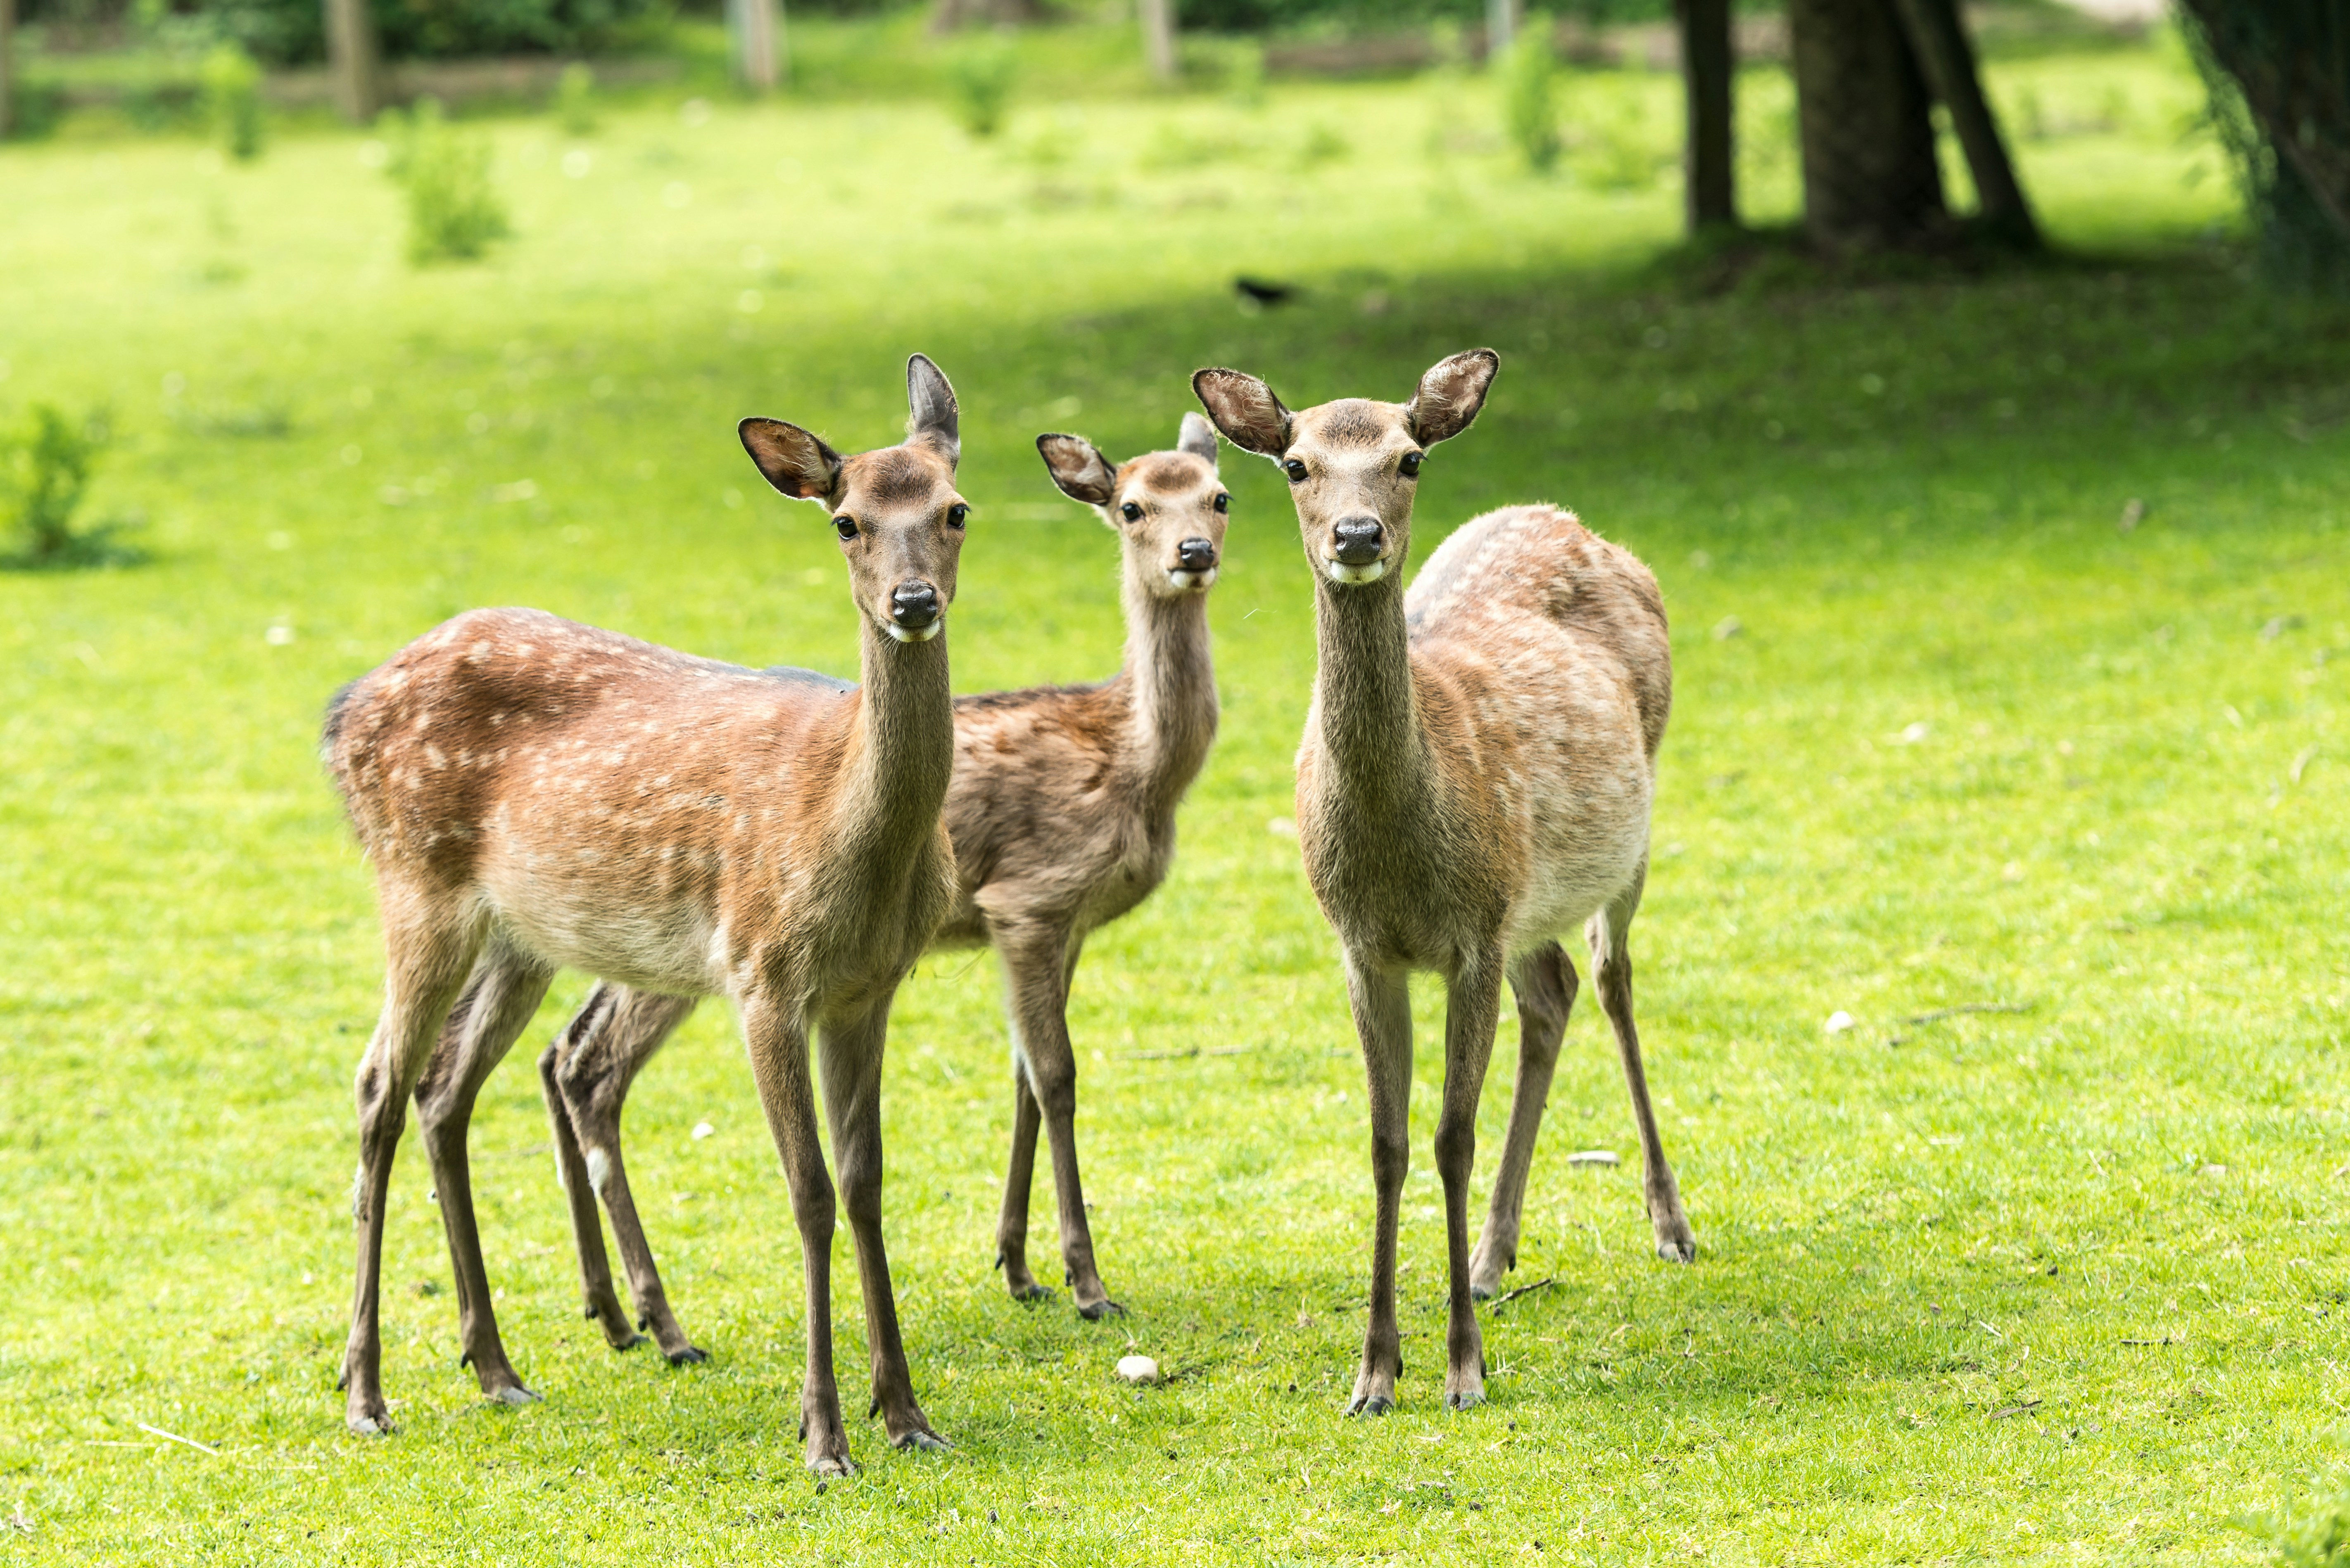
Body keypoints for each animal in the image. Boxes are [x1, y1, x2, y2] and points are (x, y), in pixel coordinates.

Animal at [322, 355, 969, 1476]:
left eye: (955, 510)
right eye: (845, 520)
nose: (913, 600)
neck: (850, 839)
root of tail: (341, 713)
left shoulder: (867, 988)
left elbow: (866, 1180)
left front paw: (906, 1413)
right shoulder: (761, 970)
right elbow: (806, 1188)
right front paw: (824, 1434)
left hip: (521, 937)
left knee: (445, 1088)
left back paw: (496, 1366)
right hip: (414, 886)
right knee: (376, 1084)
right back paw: (365, 1391)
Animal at [532, 414, 1229, 1358]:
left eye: (1219, 496)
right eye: (1132, 506)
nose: (1193, 552)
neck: (1135, 763)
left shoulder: (1066, 920)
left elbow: (1022, 1075)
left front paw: (1019, 1267)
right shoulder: (1032, 896)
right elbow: (1056, 1075)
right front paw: (1087, 1283)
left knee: (562, 1049)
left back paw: (611, 1310)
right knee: (592, 1064)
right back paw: (655, 1320)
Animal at [1191, 349, 1695, 1417]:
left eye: (1409, 457)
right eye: (1294, 464)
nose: (1356, 535)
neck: (1399, 854)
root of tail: (1573, 522)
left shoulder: (1471, 934)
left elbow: (1449, 1135)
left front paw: (1462, 1367)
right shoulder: (1363, 946)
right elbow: (1386, 1140)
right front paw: (1374, 1370)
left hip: (1623, 838)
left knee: (1611, 981)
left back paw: (1668, 1222)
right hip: (1529, 905)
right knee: (1552, 993)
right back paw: (1494, 1257)